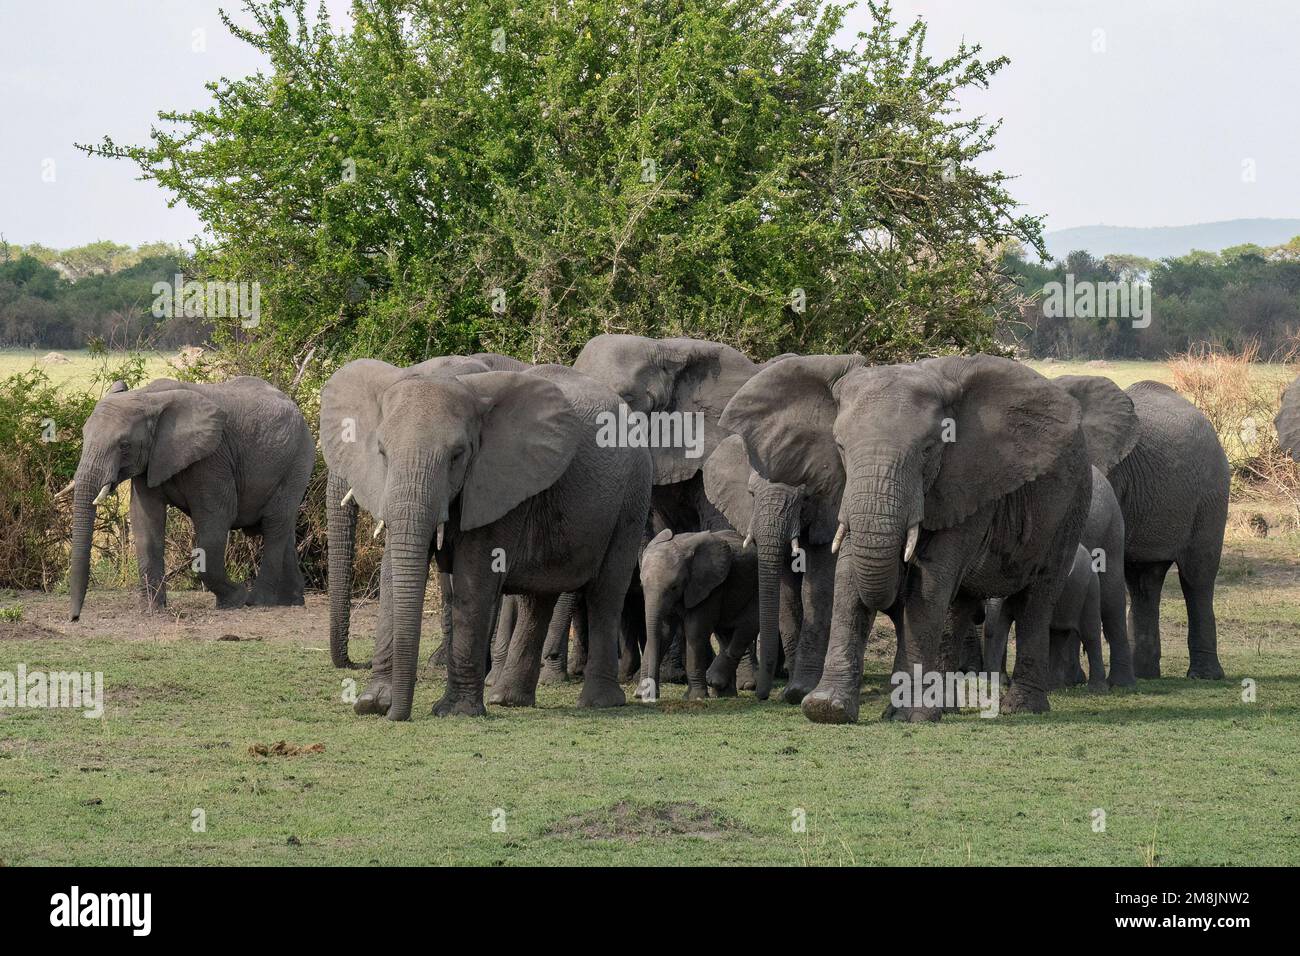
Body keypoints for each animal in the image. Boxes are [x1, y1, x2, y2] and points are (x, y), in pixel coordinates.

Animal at [67, 376, 314, 620]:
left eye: (124, 445)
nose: (75, 618)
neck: (148, 396)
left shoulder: (212, 458)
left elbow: (216, 519)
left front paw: (235, 599)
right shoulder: (151, 460)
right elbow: (145, 521)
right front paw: (152, 610)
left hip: (296, 462)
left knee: (274, 524)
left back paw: (257, 601)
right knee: (283, 527)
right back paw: (292, 600)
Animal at [320, 360, 651, 719]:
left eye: (457, 455)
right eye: (382, 452)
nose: (399, 715)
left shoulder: (497, 481)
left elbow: (474, 580)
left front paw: (454, 712)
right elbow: (394, 575)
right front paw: (372, 704)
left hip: (632, 497)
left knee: (606, 591)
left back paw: (598, 702)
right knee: (538, 598)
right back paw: (508, 699)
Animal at [636, 528, 759, 701]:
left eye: (674, 587)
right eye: (641, 585)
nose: (652, 695)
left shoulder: (709, 587)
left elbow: (695, 631)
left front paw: (695, 698)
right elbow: (663, 632)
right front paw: (640, 694)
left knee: (746, 627)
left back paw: (716, 682)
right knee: (725, 634)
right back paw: (724, 694)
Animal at [983, 544, 1107, 693]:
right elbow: (1000, 626)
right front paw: (1000, 684)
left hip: (1090, 590)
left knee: (1090, 635)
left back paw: (1096, 689)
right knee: (1059, 636)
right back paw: (1054, 687)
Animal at [1067, 379, 1229, 680]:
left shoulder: (1110, 471)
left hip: (1211, 496)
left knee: (1197, 577)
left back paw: (1204, 676)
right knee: (1143, 581)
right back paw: (1144, 675)